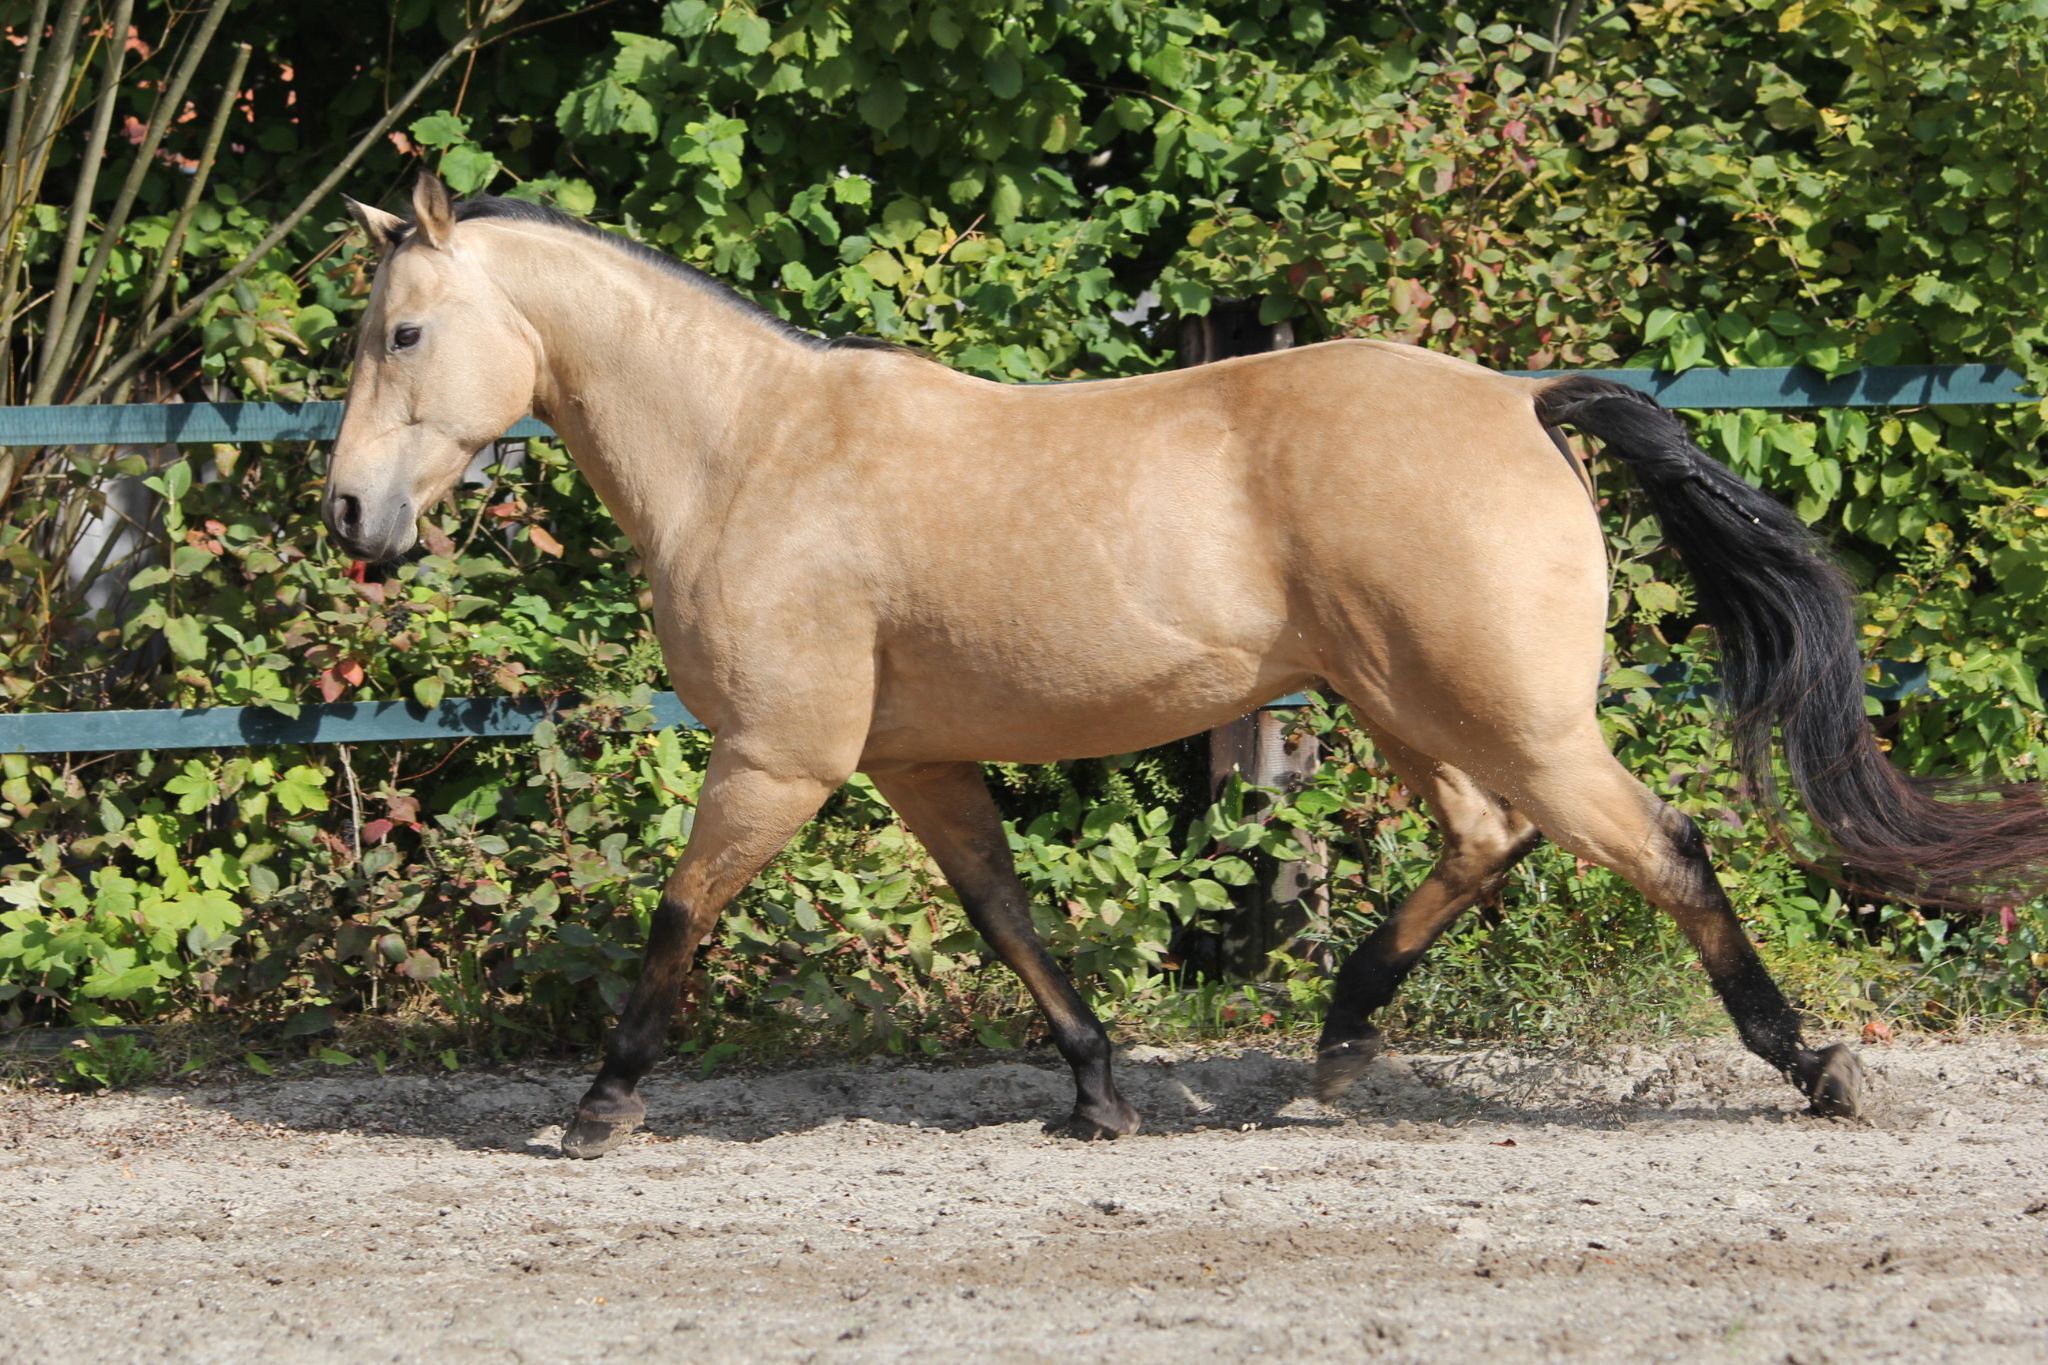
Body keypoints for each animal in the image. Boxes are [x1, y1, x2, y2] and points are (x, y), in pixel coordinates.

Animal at [325, 171, 2048, 1157]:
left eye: (401, 333)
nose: (353, 513)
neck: (751, 453)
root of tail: (1522, 396)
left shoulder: (779, 761)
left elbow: (680, 916)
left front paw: (598, 1109)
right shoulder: (913, 761)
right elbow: (1007, 914)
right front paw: (1099, 1094)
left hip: (1517, 718)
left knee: (1663, 850)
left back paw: (1813, 1066)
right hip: (1405, 707)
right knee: (1485, 841)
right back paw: (1331, 1056)